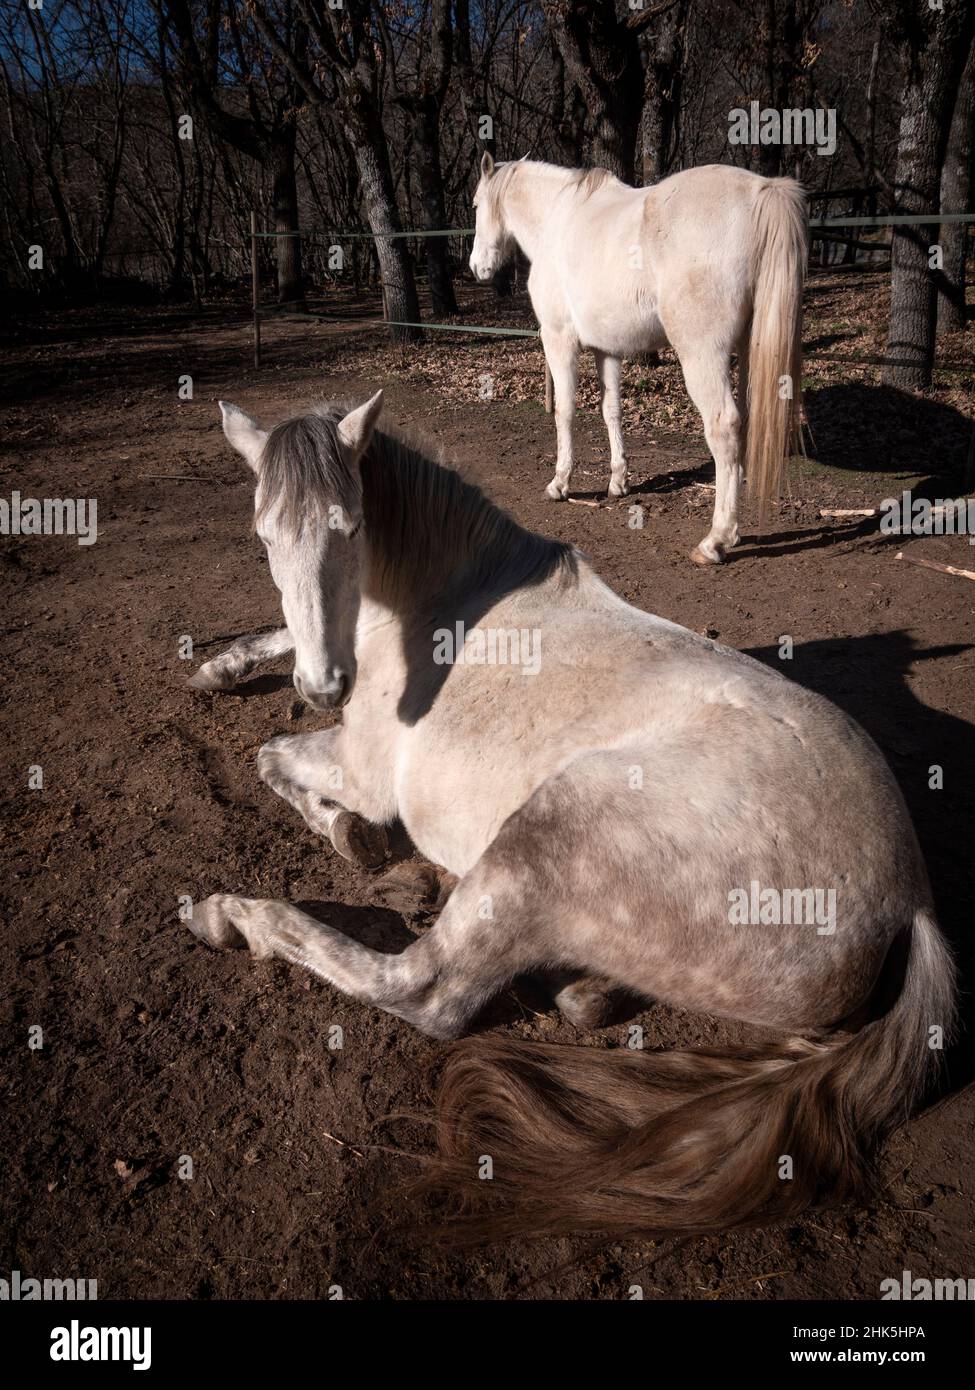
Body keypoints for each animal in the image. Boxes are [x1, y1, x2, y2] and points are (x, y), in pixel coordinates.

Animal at [188, 391, 954, 1243]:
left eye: (350, 528)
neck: (438, 599)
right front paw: (219, 665)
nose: (324, 685)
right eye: (264, 538)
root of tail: (905, 902)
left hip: (545, 836)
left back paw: (236, 917)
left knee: (424, 990)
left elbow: (271, 759)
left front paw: (347, 834)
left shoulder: (359, 767)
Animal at [469, 155, 807, 566]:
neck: (557, 220)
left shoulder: (559, 339)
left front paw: (560, 483)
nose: (477, 267)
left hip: (702, 356)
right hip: (748, 350)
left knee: (724, 426)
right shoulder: (607, 350)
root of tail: (762, 191)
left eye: (475, 204)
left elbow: (564, 411)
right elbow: (611, 410)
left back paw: (716, 540)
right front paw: (618, 482)